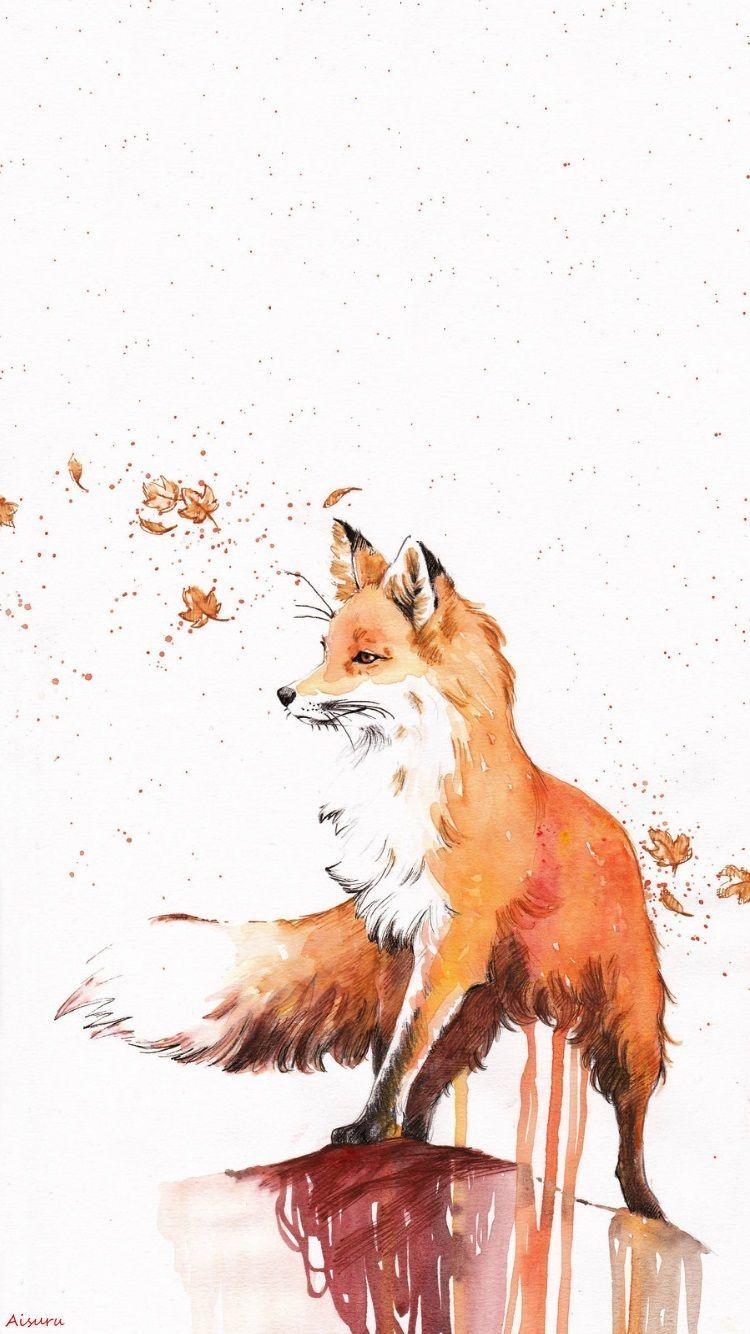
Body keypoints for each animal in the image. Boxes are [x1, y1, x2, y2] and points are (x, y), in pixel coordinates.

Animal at [57, 519, 670, 1219]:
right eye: (324, 648)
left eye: (366, 659)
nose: (285, 694)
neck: (402, 785)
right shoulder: (396, 939)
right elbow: (393, 1055)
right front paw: (375, 1130)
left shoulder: (448, 945)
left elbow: (399, 1055)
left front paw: (370, 1128)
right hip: (475, 1015)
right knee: (430, 1091)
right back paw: (425, 1151)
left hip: (626, 1019)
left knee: (629, 1123)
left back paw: (646, 1207)